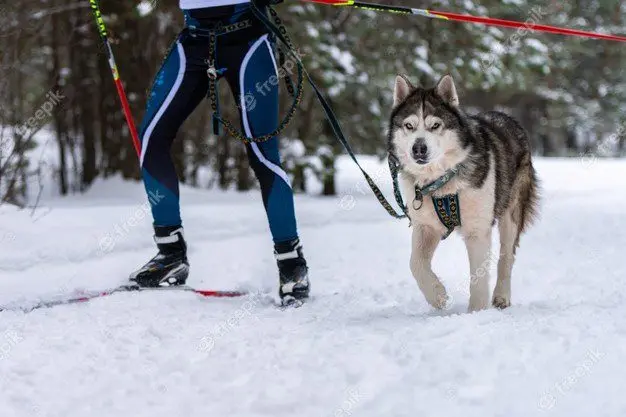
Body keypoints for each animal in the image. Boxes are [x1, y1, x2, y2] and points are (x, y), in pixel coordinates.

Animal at [386, 73, 536, 310]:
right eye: (409, 125)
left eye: (435, 125)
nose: (418, 148)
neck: (441, 182)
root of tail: (505, 116)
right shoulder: (425, 226)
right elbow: (415, 263)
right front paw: (437, 295)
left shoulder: (478, 229)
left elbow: (478, 277)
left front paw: (477, 311)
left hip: (511, 212)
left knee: (506, 256)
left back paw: (502, 296)